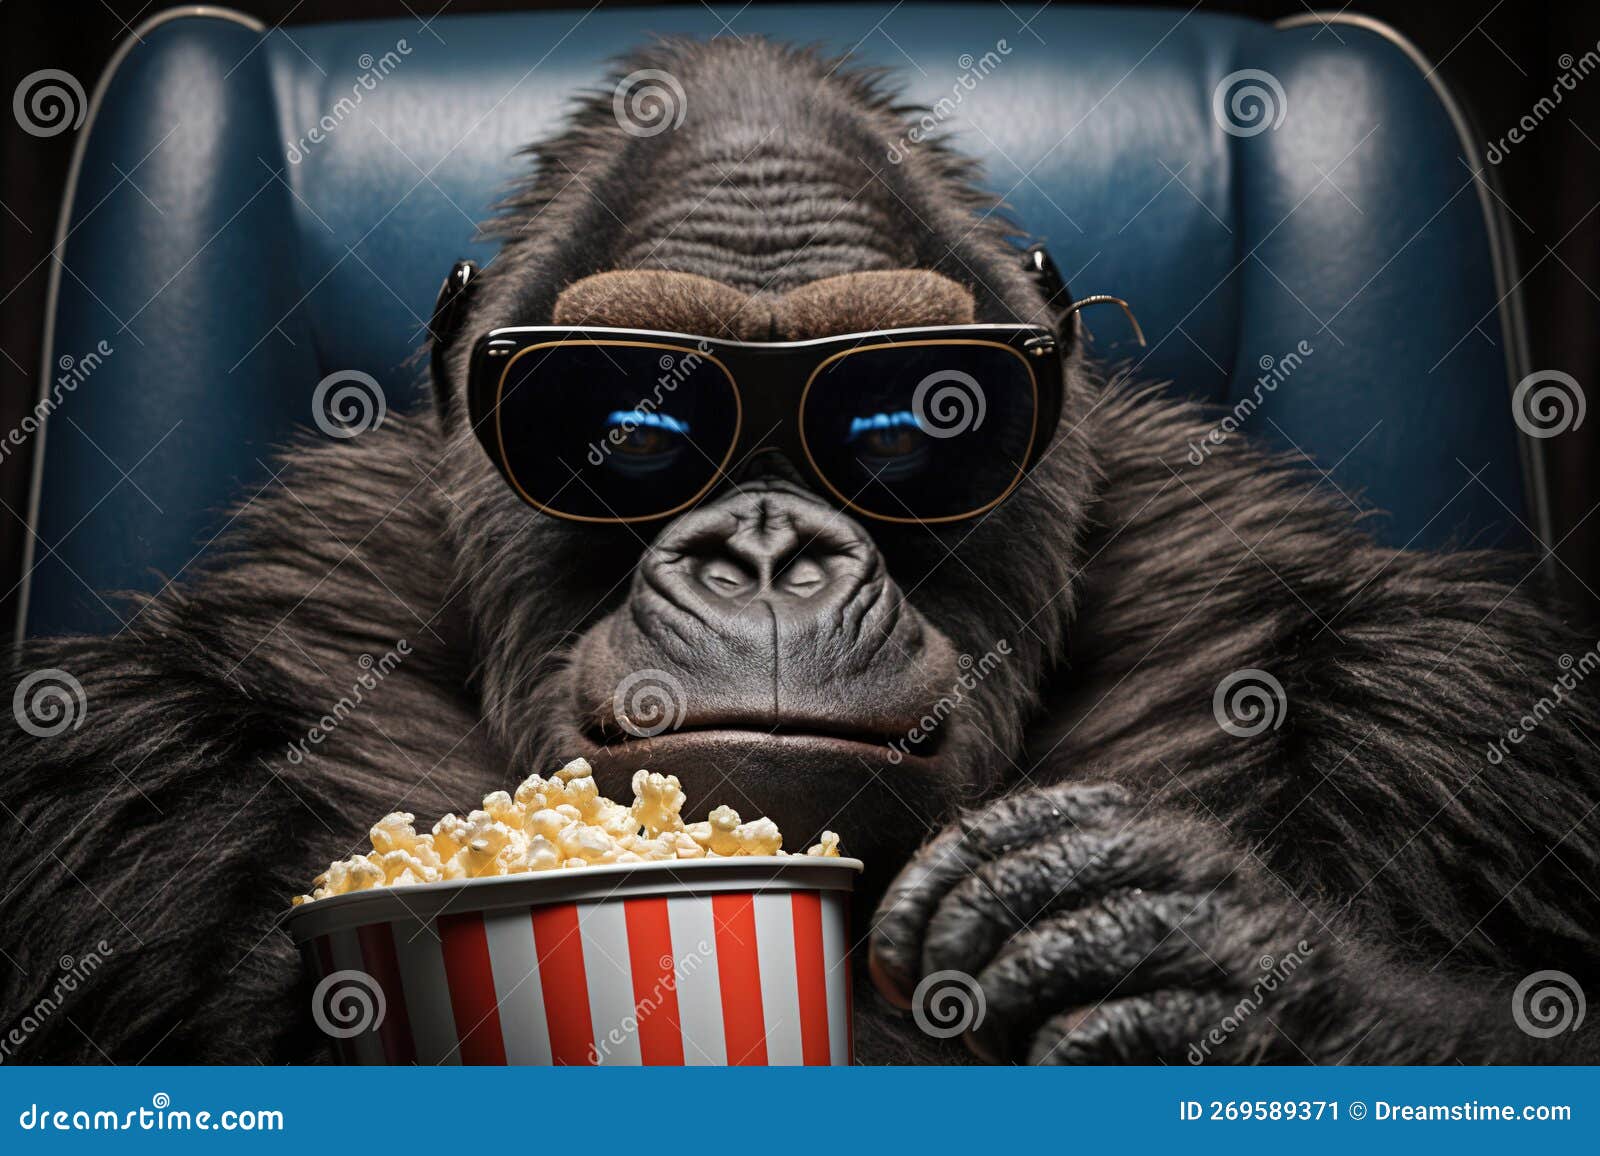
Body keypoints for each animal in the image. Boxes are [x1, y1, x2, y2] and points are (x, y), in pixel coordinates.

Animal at [2, 35, 1597, 1065]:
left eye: (911, 420)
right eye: (630, 424)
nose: (767, 547)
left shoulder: (1411, 679)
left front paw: (1189, 950)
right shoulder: (161, 728)